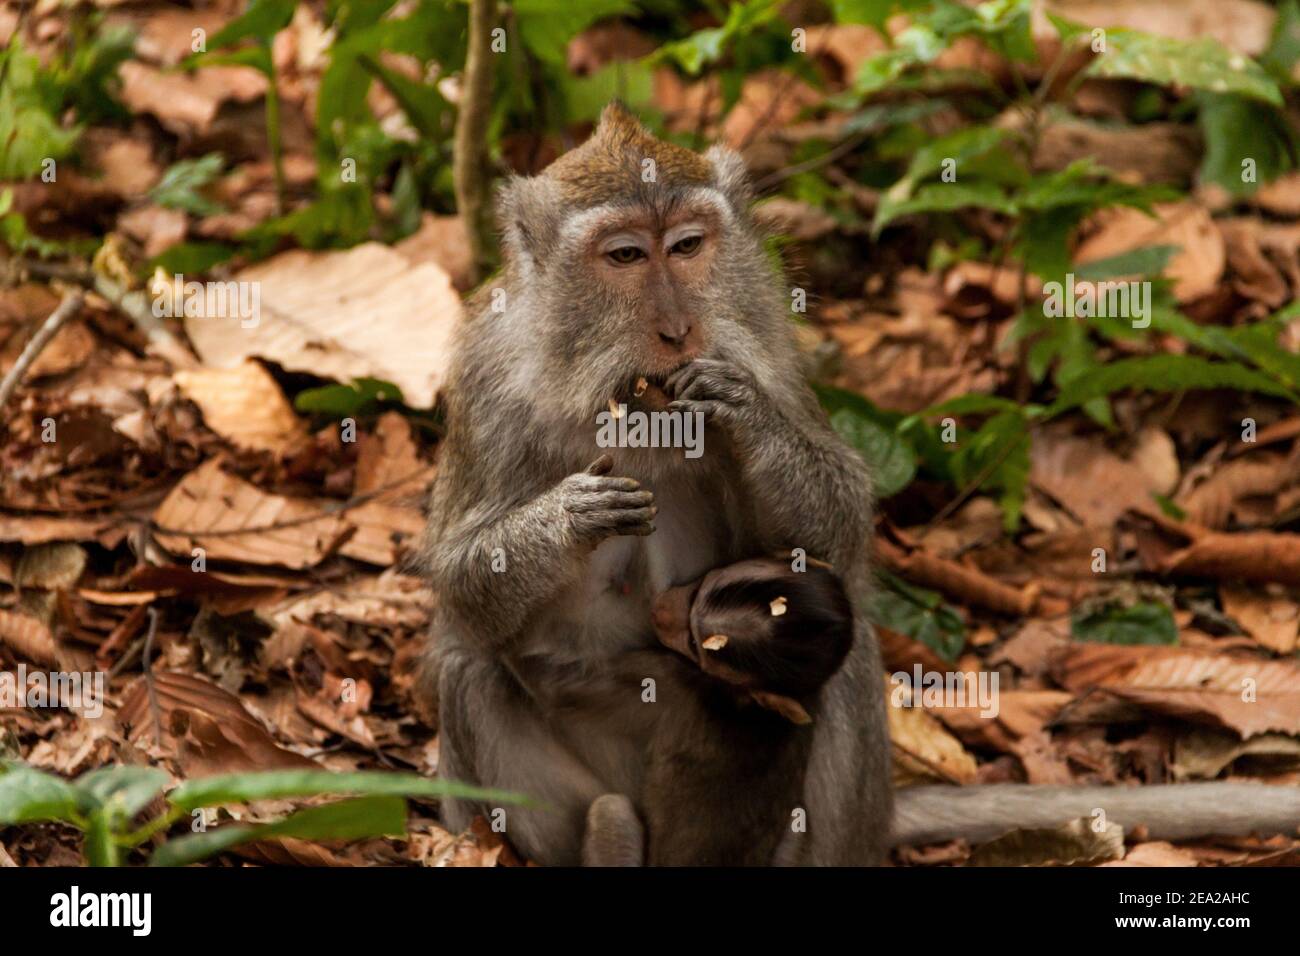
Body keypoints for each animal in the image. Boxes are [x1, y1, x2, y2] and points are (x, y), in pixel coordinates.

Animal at [422, 101, 891, 866]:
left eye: (688, 245)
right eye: (626, 256)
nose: (678, 330)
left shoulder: (766, 343)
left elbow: (835, 535)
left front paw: (746, 415)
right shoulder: (484, 378)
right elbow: (461, 582)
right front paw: (569, 517)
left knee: (849, 651)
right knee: (470, 669)